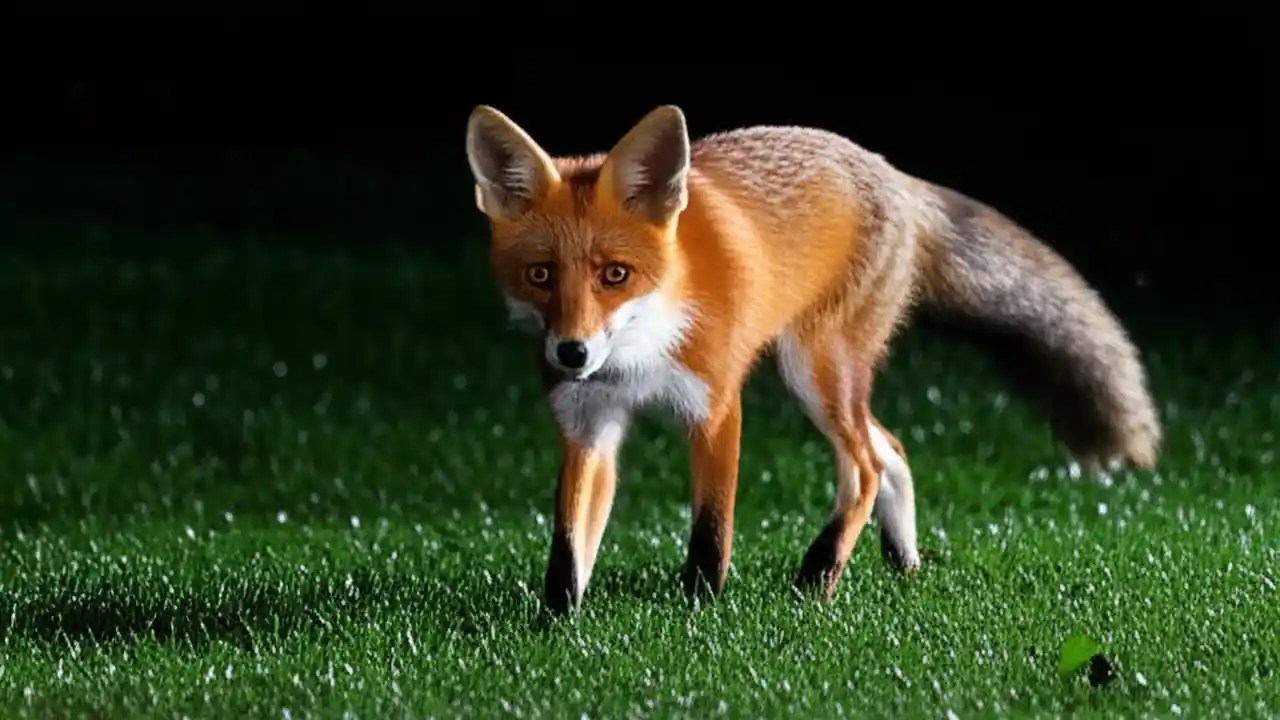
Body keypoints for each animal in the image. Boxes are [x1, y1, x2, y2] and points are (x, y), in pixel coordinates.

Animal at [464, 103, 1161, 614]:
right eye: (540, 275)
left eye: (616, 274)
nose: (571, 351)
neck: (639, 353)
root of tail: (890, 171)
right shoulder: (588, 425)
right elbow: (568, 545)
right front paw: (557, 622)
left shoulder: (716, 407)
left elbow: (711, 529)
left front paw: (699, 609)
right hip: (822, 377)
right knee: (892, 448)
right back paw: (901, 560)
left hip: (813, 370)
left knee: (865, 466)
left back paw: (820, 573)